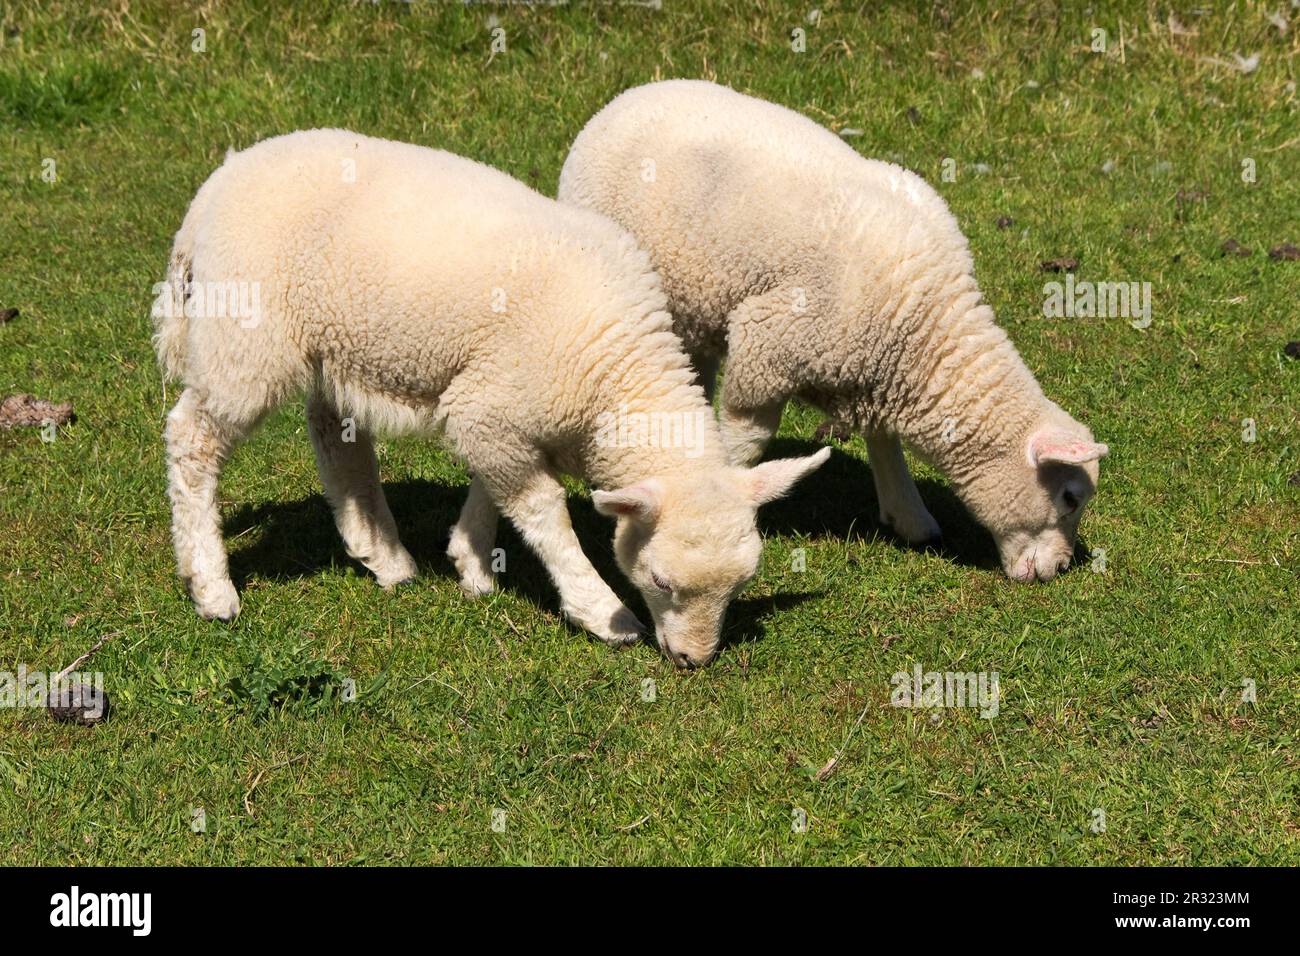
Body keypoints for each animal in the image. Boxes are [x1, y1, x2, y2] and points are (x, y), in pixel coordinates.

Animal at [153, 129, 829, 667]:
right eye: (660, 582)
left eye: (740, 585)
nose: (693, 660)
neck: (617, 372)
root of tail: (212, 192)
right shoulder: (497, 406)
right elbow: (544, 512)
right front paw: (599, 610)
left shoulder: (499, 407)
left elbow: (494, 485)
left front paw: (471, 561)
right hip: (246, 339)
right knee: (192, 439)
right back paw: (211, 587)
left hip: (333, 345)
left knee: (335, 437)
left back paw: (384, 556)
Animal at [558, 80, 1109, 582]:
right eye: (1069, 497)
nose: (1059, 569)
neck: (930, 330)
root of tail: (624, 98)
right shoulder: (768, 344)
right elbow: (749, 442)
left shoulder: (877, 367)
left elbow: (884, 440)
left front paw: (908, 515)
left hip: (697, 303)